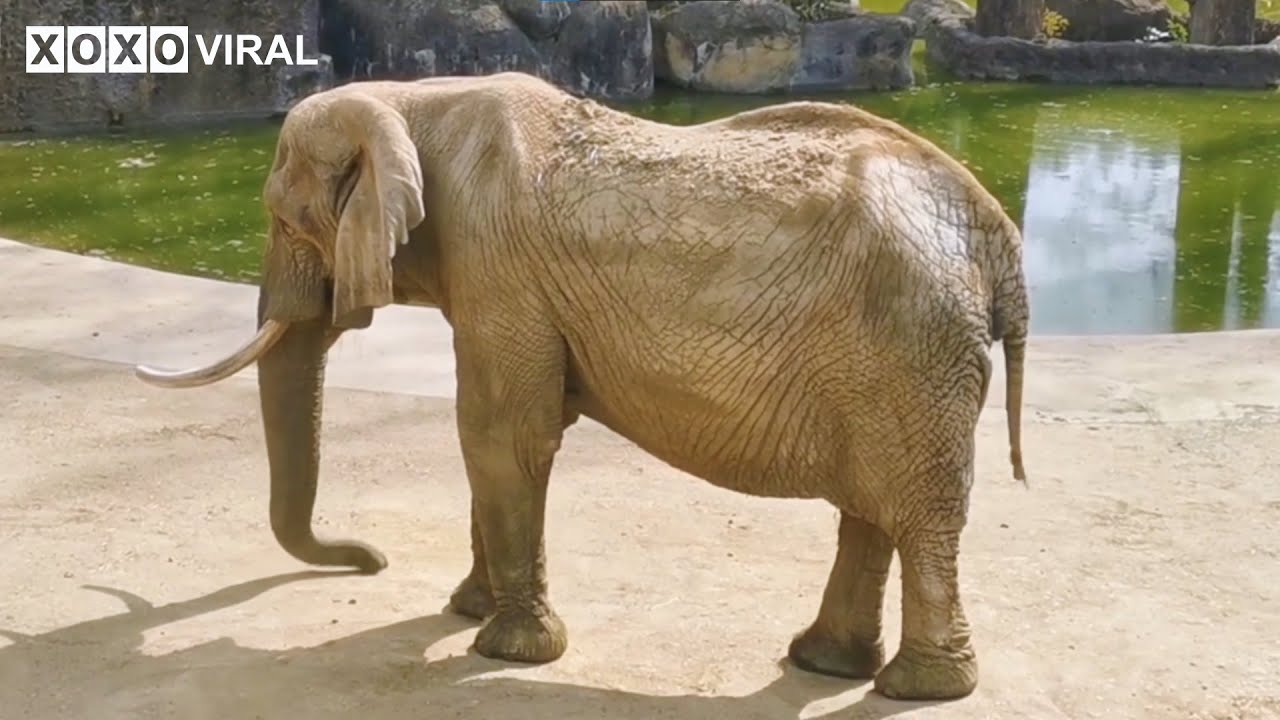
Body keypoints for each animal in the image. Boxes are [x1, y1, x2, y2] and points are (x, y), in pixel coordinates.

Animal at [134, 71, 1029, 701]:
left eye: (288, 219)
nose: (372, 562)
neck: (411, 101)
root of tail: (997, 236)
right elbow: (500, 436)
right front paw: (469, 610)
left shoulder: (498, 268)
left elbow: (500, 434)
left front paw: (503, 649)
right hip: (894, 360)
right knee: (871, 508)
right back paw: (825, 663)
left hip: (909, 351)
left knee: (915, 513)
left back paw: (914, 689)